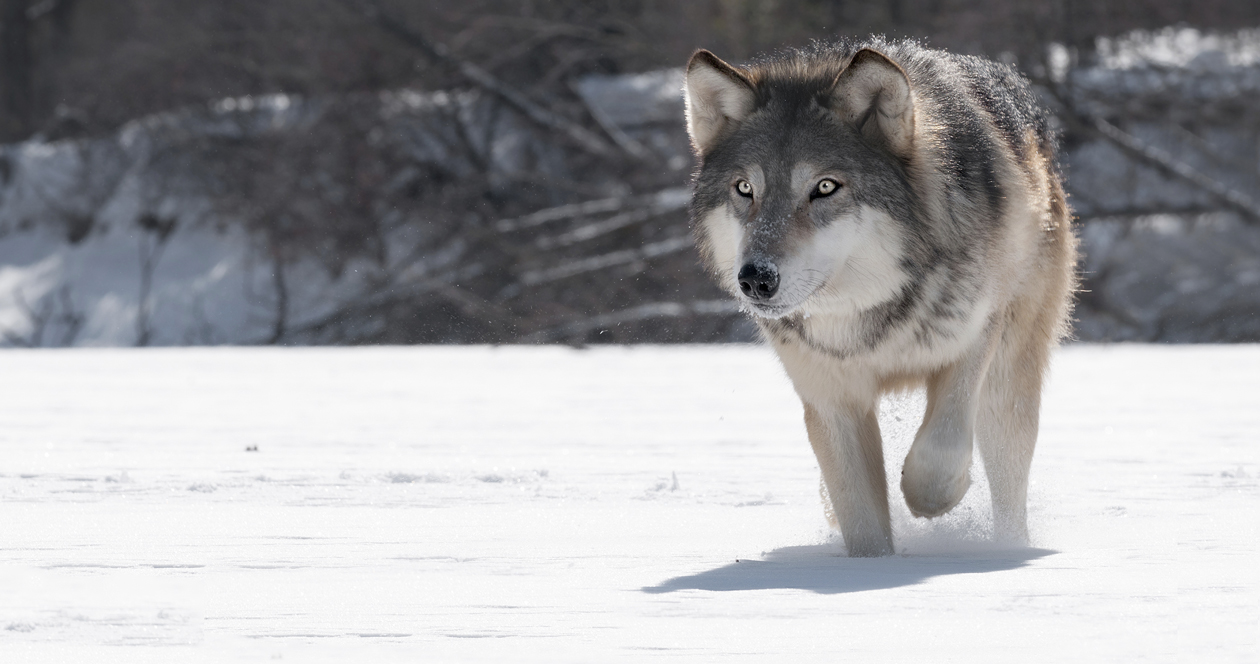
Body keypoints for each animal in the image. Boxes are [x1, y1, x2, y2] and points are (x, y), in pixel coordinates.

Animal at [683, 39, 1076, 556]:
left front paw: (930, 499)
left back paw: (1008, 548)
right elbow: (861, 520)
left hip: (1008, 383)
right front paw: (873, 568)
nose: (756, 278)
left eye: (824, 187)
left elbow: (940, 452)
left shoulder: (978, 331)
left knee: (1008, 477)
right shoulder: (832, 402)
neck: (869, 314)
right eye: (745, 188)